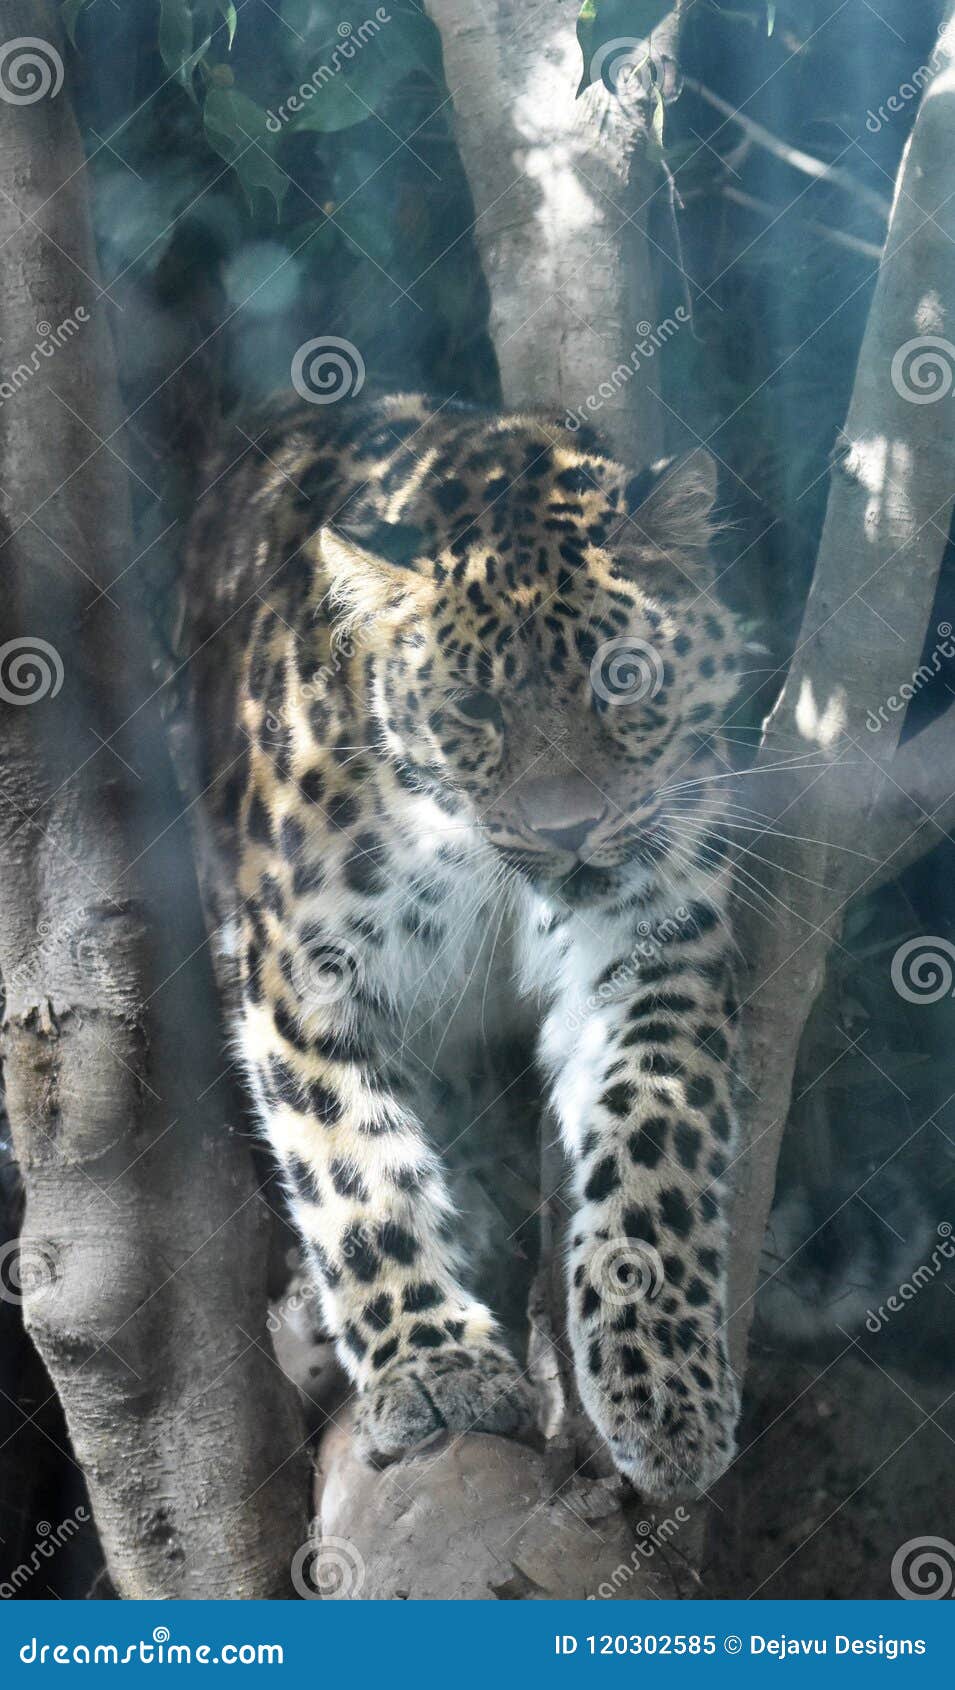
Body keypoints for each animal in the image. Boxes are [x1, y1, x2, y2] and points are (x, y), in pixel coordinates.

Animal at [180, 390, 745, 1502]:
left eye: (623, 678)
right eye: (475, 708)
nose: (568, 829)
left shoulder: (659, 945)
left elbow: (653, 1135)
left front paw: (663, 1383)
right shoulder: (298, 982)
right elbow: (353, 1174)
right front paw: (434, 1366)